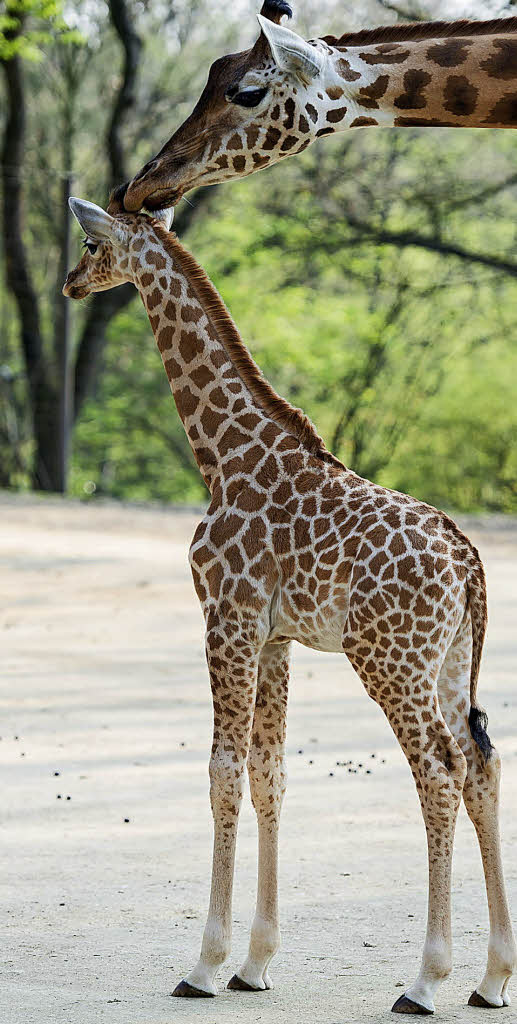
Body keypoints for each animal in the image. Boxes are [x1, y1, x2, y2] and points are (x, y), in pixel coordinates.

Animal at [63, 189, 516, 1016]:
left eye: (89, 241)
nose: (71, 285)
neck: (222, 454)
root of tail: (466, 561)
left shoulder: (226, 618)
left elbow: (221, 770)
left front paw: (203, 965)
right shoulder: (274, 637)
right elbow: (267, 773)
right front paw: (254, 964)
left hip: (389, 661)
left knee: (437, 770)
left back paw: (424, 980)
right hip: (447, 661)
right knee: (480, 763)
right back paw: (490, 978)